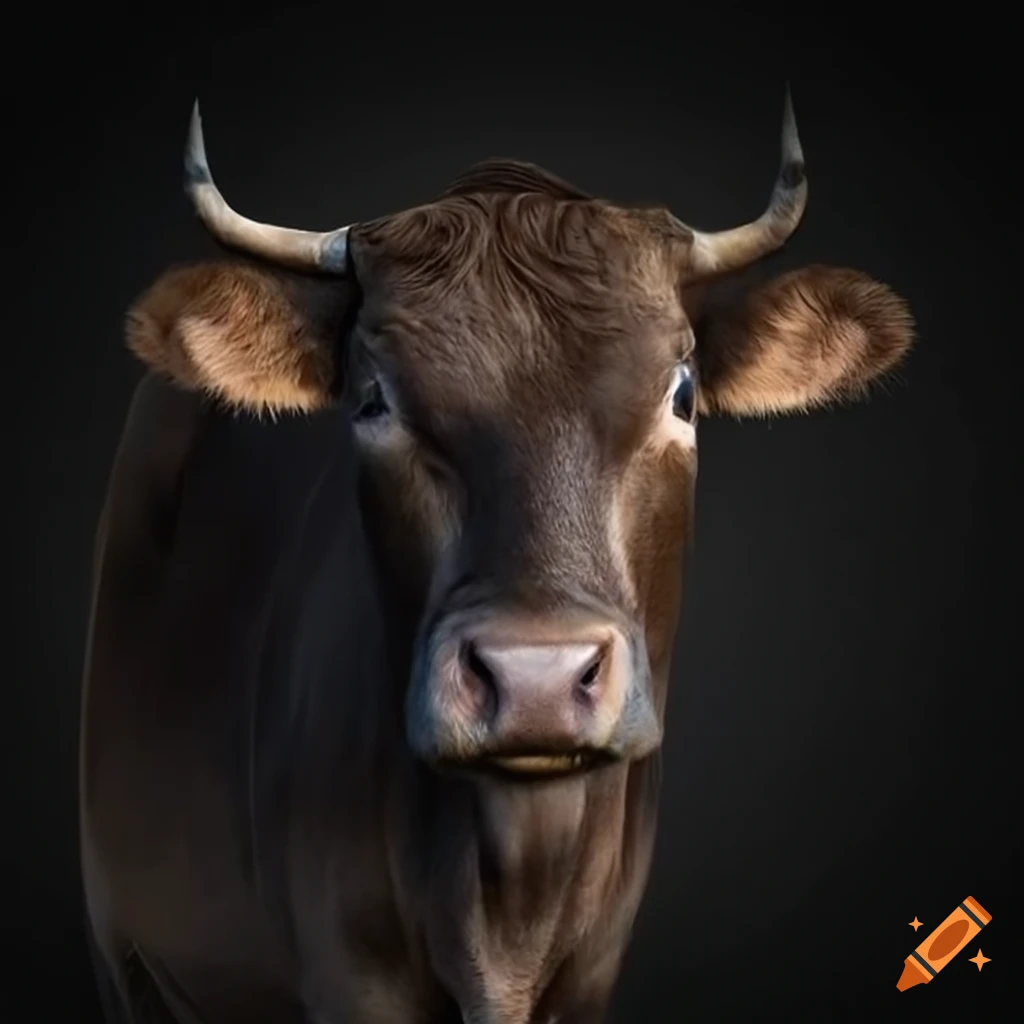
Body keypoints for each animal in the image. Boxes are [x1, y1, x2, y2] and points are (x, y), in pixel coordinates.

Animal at [80, 90, 914, 1024]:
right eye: (372, 398)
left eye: (683, 391)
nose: (536, 678)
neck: (508, 896)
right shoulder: (344, 973)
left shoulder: (591, 975)